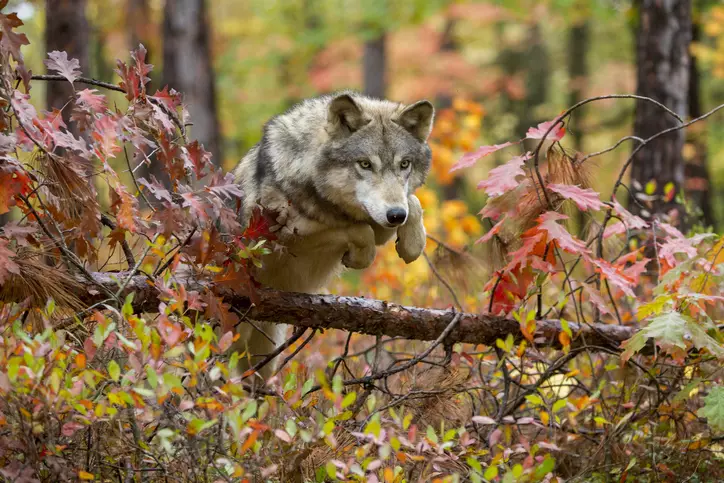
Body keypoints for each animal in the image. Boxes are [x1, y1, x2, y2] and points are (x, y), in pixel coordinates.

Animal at [230, 91, 436, 382]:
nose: (395, 215)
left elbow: (413, 203)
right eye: (365, 164)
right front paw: (360, 256)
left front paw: (412, 244)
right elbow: (359, 231)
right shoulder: (285, 239)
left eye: (404, 164)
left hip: (263, 351)